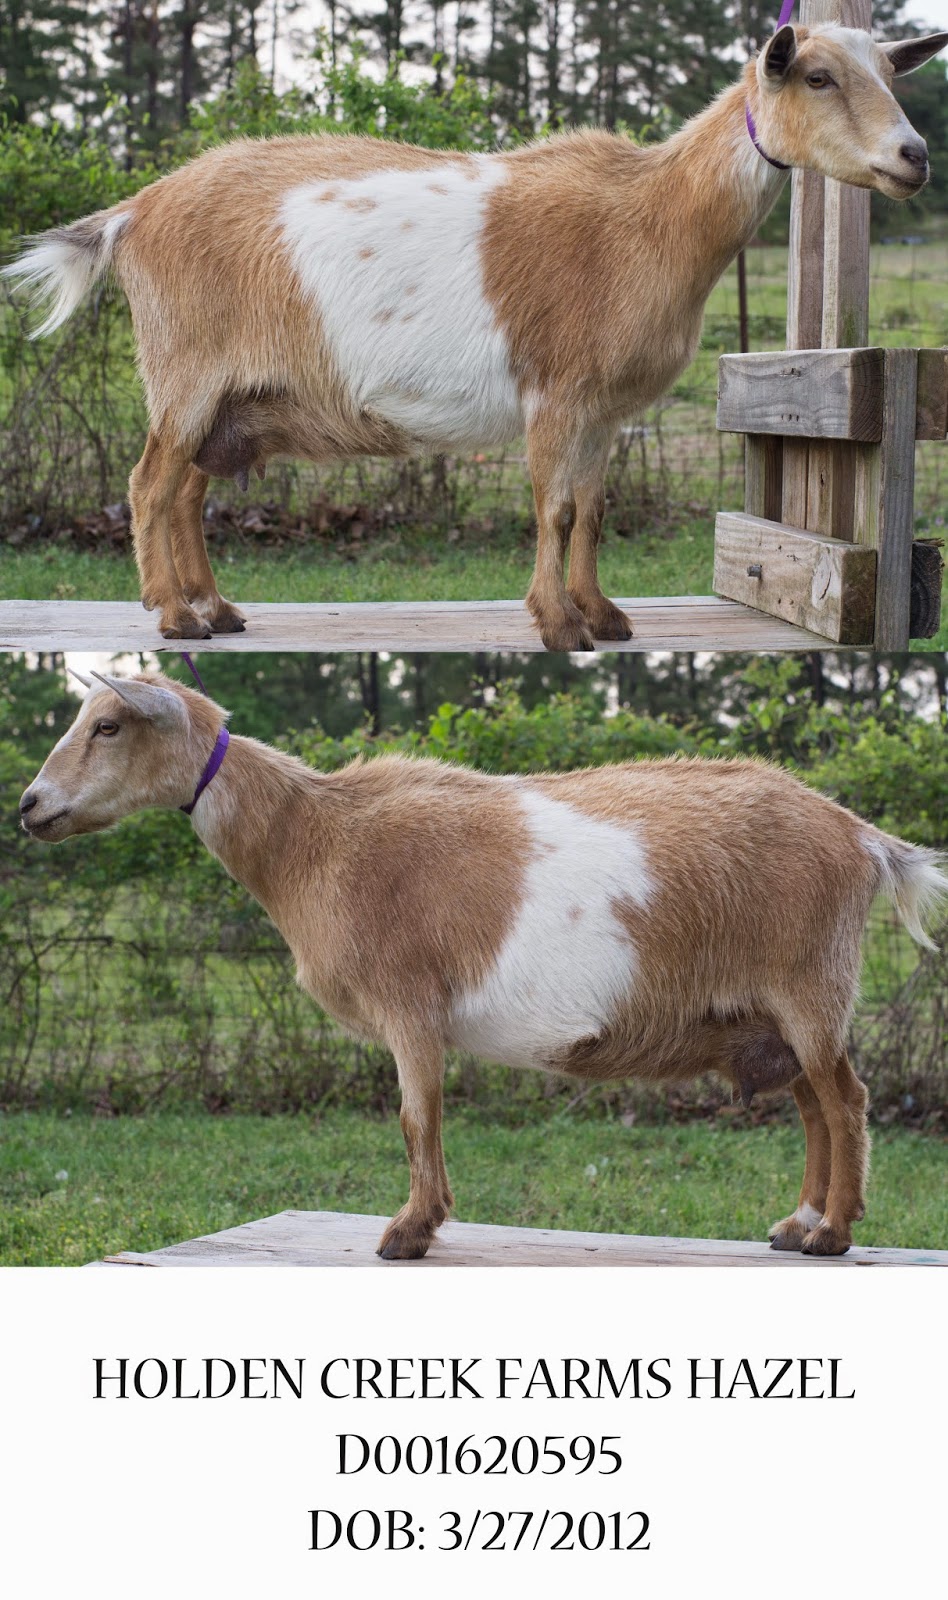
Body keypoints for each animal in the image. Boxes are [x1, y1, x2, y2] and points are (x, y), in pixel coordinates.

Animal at [6, 27, 947, 651]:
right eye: (818, 76)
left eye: (887, 72)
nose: (915, 156)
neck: (650, 218)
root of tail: (135, 211)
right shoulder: (556, 392)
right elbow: (554, 506)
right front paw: (559, 626)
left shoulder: (605, 411)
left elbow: (593, 511)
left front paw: (605, 616)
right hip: (186, 370)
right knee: (149, 485)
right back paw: (172, 615)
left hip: (228, 397)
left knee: (189, 493)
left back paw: (218, 609)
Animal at [20, 672, 947, 1259]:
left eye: (108, 725)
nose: (29, 806)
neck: (312, 838)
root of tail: (861, 836)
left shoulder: (409, 1004)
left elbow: (414, 1117)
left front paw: (409, 1232)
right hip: (776, 1010)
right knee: (815, 1105)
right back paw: (796, 1225)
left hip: (810, 983)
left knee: (845, 1100)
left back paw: (832, 1234)